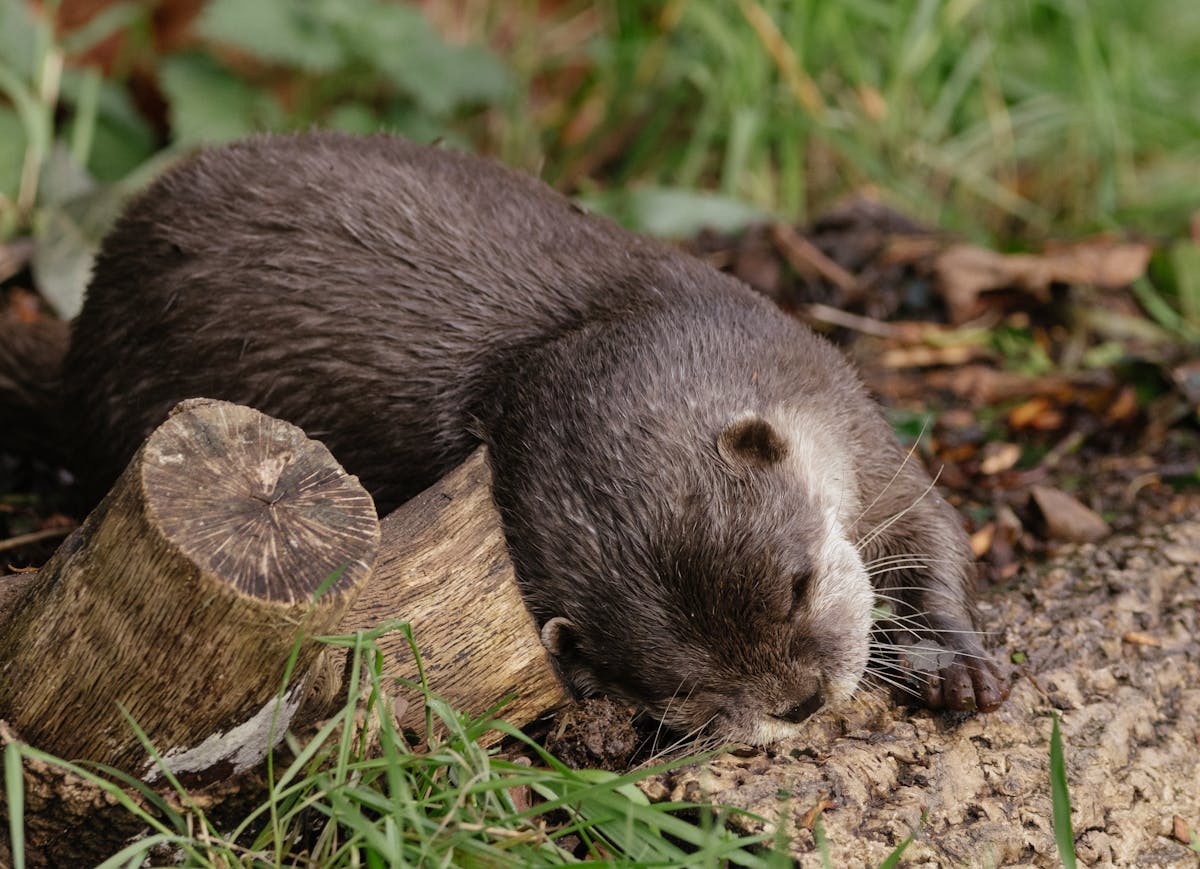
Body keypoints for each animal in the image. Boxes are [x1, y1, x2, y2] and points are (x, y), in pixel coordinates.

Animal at [64, 132, 1006, 744]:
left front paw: (959, 665)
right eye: (688, 689)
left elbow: (938, 534)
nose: (803, 700)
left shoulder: (852, 429)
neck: (551, 345)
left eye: (797, 585)